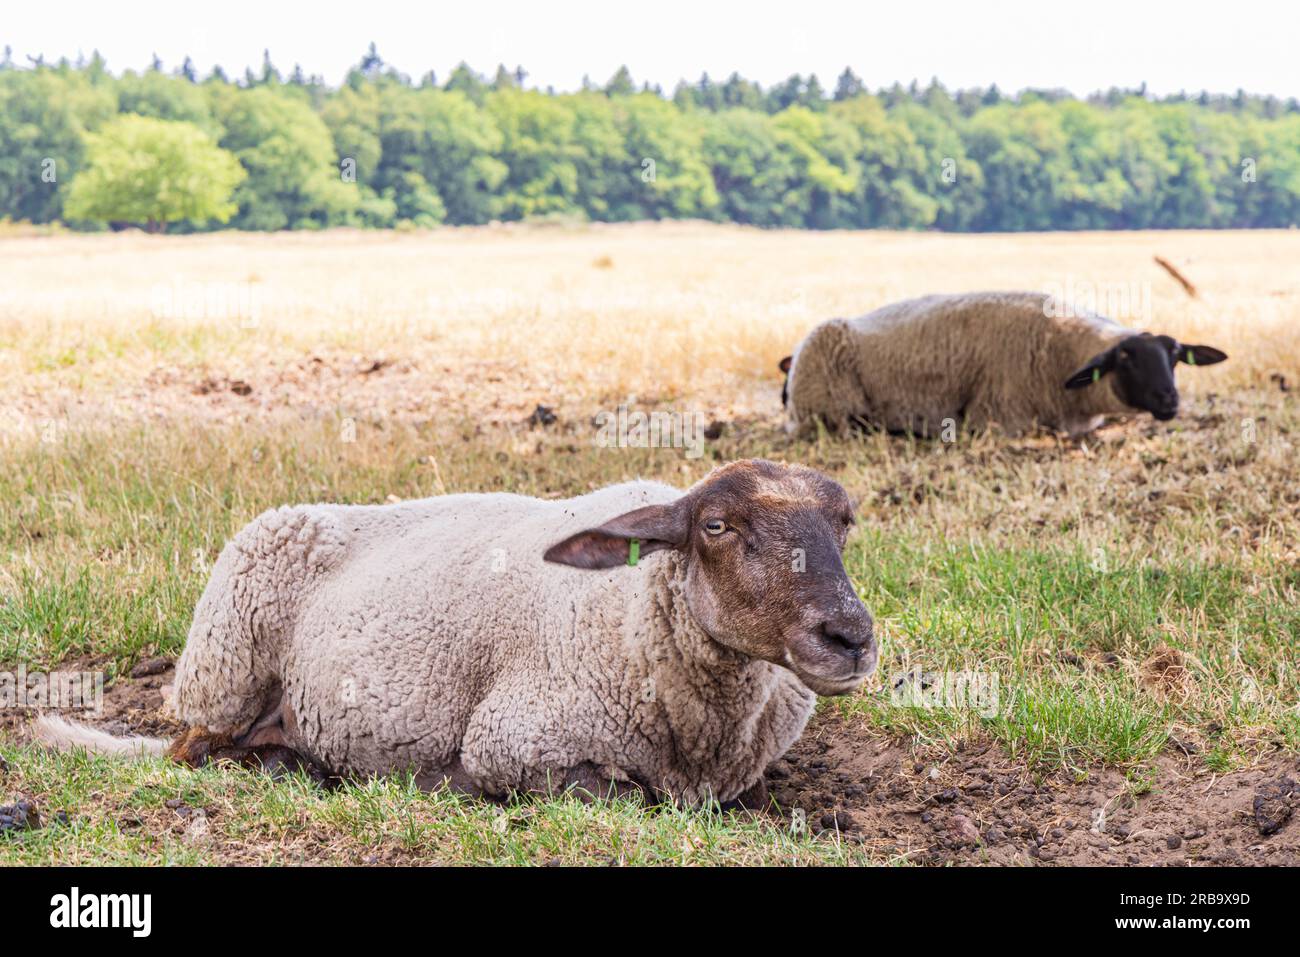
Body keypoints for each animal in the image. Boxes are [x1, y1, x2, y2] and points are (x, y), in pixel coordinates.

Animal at [35, 459, 876, 805]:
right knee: (191, 753)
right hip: (223, 673)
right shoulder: (515, 741)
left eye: (845, 521)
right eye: (716, 526)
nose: (850, 636)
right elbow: (629, 796)